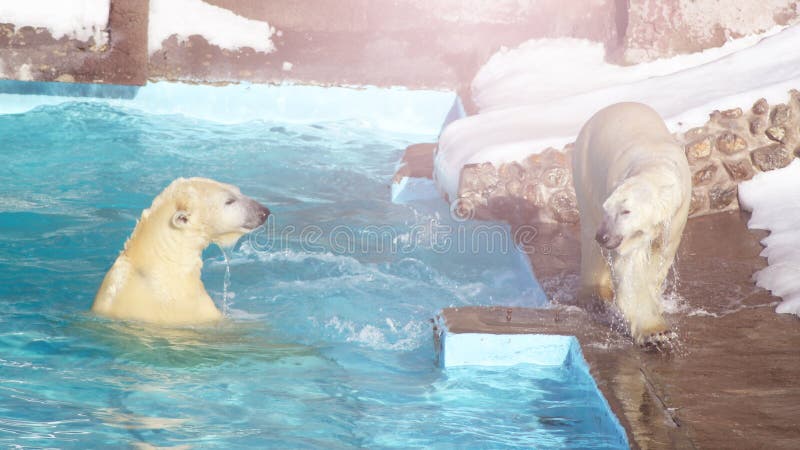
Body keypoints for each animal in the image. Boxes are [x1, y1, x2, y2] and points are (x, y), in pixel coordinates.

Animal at [571, 102, 691, 347]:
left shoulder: (676, 217)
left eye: (626, 211)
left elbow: (660, 257)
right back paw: (595, 295)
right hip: (585, 173)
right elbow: (630, 265)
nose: (604, 236)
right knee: (590, 245)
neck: (656, 164)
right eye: (608, 208)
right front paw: (656, 332)